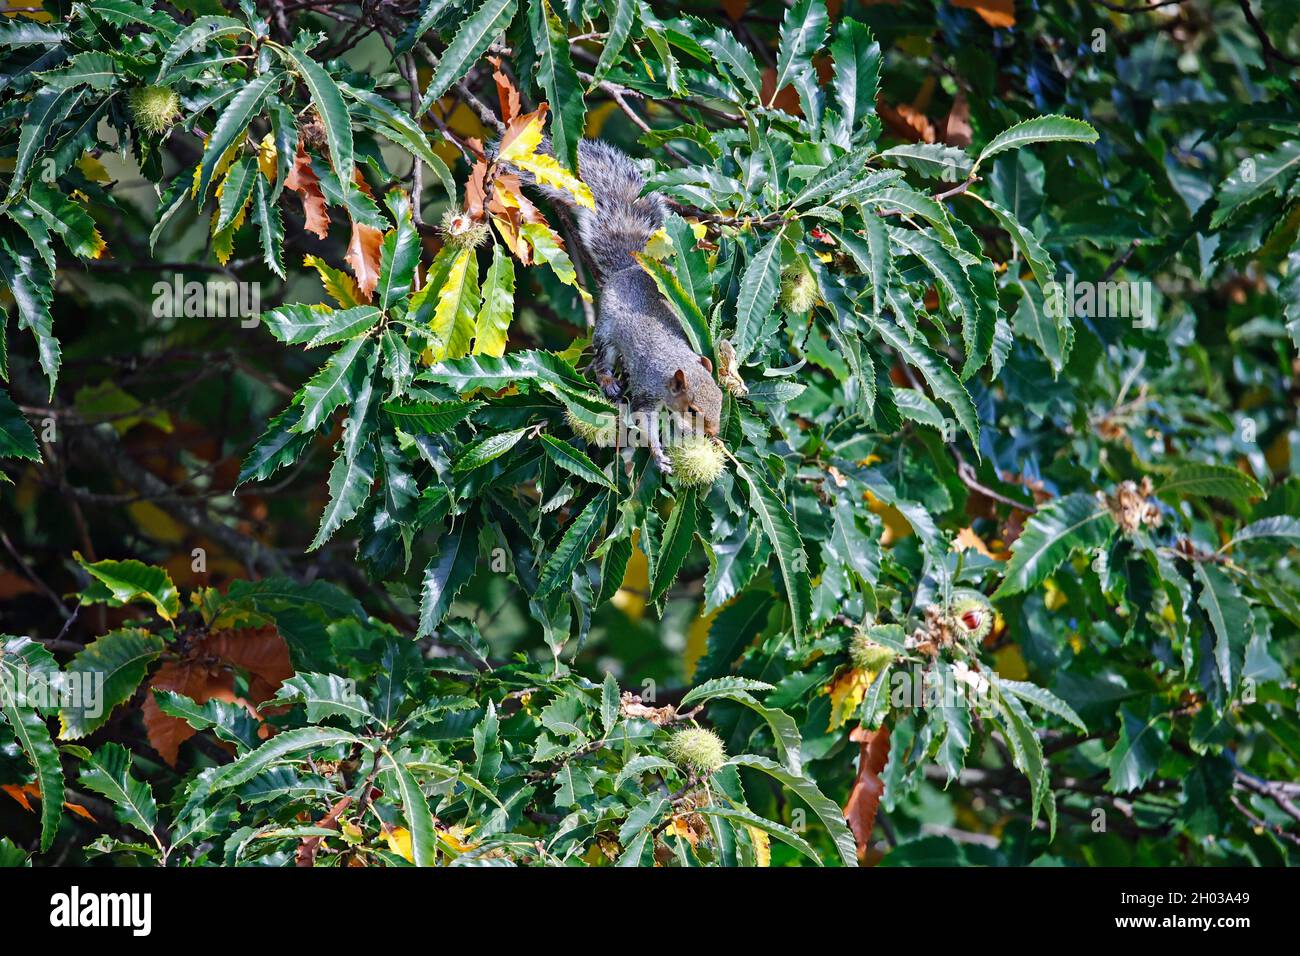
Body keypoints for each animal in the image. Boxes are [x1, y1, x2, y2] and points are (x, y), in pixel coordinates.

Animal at [504, 138, 723, 473]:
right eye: (694, 410)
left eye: (721, 401)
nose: (714, 432)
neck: (674, 363)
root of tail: (627, 269)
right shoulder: (647, 387)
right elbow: (644, 420)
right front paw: (659, 455)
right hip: (606, 329)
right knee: (602, 358)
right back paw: (608, 380)